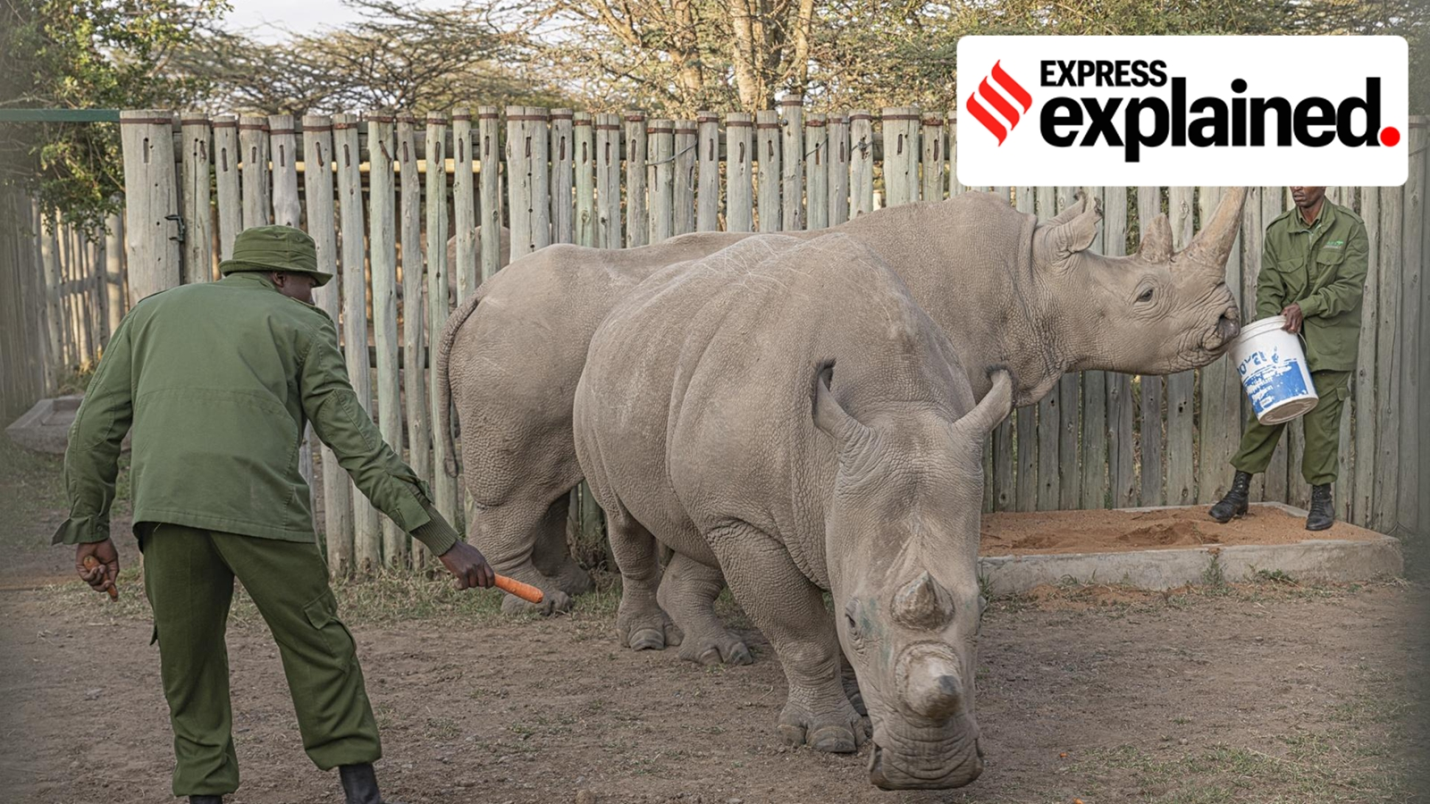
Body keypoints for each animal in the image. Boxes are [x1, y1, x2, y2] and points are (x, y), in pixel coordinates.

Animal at [437, 188, 1248, 616]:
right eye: (1146, 296)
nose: (1226, 323)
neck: (1033, 281)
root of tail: (474, 295)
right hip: (521, 342)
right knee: (518, 484)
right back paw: (536, 602)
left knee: (555, 475)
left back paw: (566, 585)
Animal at [573, 234, 1013, 788]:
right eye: (853, 620)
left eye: (982, 612)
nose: (931, 772)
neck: (896, 403)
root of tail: (617, 313)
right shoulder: (750, 519)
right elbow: (803, 631)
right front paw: (830, 737)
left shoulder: (792, 506)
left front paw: (860, 703)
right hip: (599, 392)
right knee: (624, 520)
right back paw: (648, 640)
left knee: (701, 533)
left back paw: (717, 655)